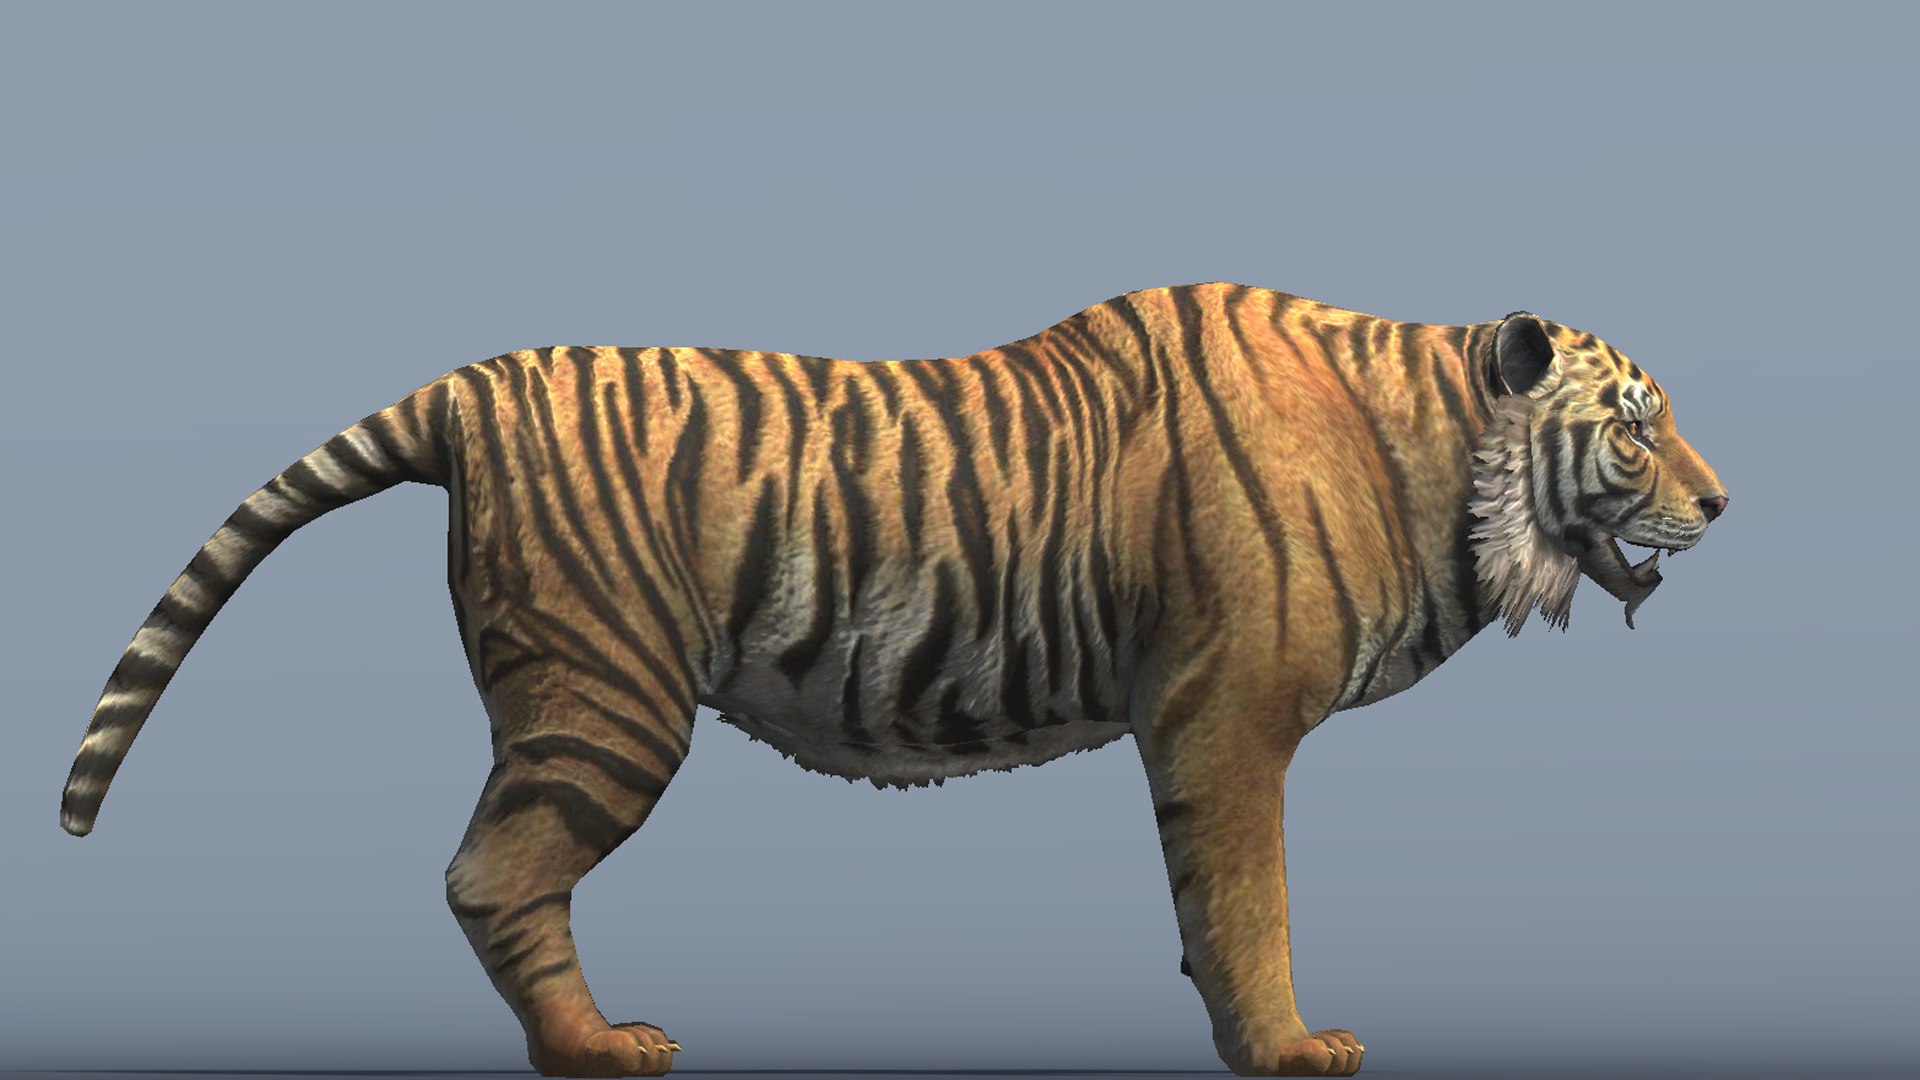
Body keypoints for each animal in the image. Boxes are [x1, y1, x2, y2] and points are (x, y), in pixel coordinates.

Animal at [60, 282, 1728, 1077]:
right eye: (1634, 425)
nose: (1725, 503)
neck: (1440, 462)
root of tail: (472, 388)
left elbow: (1210, 908)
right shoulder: (1228, 719)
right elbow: (1250, 900)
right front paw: (1291, 1051)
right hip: (606, 700)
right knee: (494, 875)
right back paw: (600, 1053)